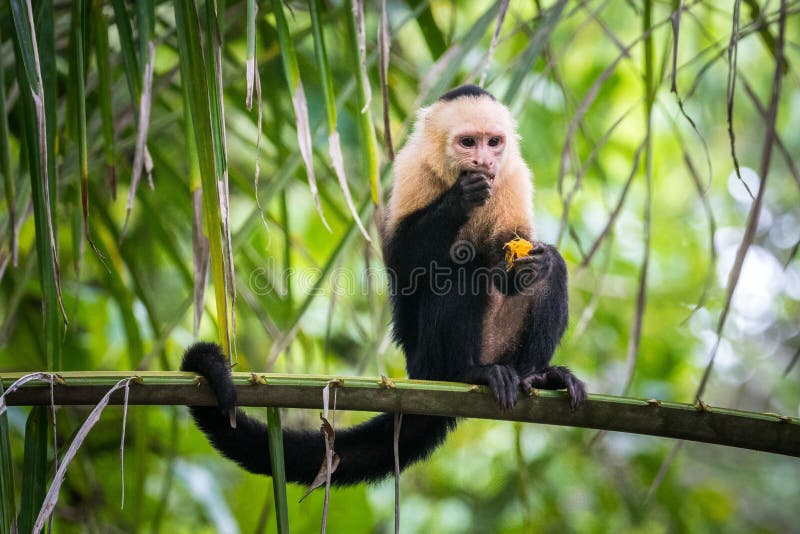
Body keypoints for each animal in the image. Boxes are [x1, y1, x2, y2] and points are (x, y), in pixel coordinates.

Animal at [181, 84, 586, 487]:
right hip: (428, 360)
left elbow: (513, 257)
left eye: (494, 142)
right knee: (459, 271)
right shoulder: (412, 169)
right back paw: (469, 372)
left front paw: (533, 262)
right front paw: (461, 197)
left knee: (548, 277)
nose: (484, 162)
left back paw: (538, 374)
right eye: (468, 142)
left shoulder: (514, 175)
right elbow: (404, 266)